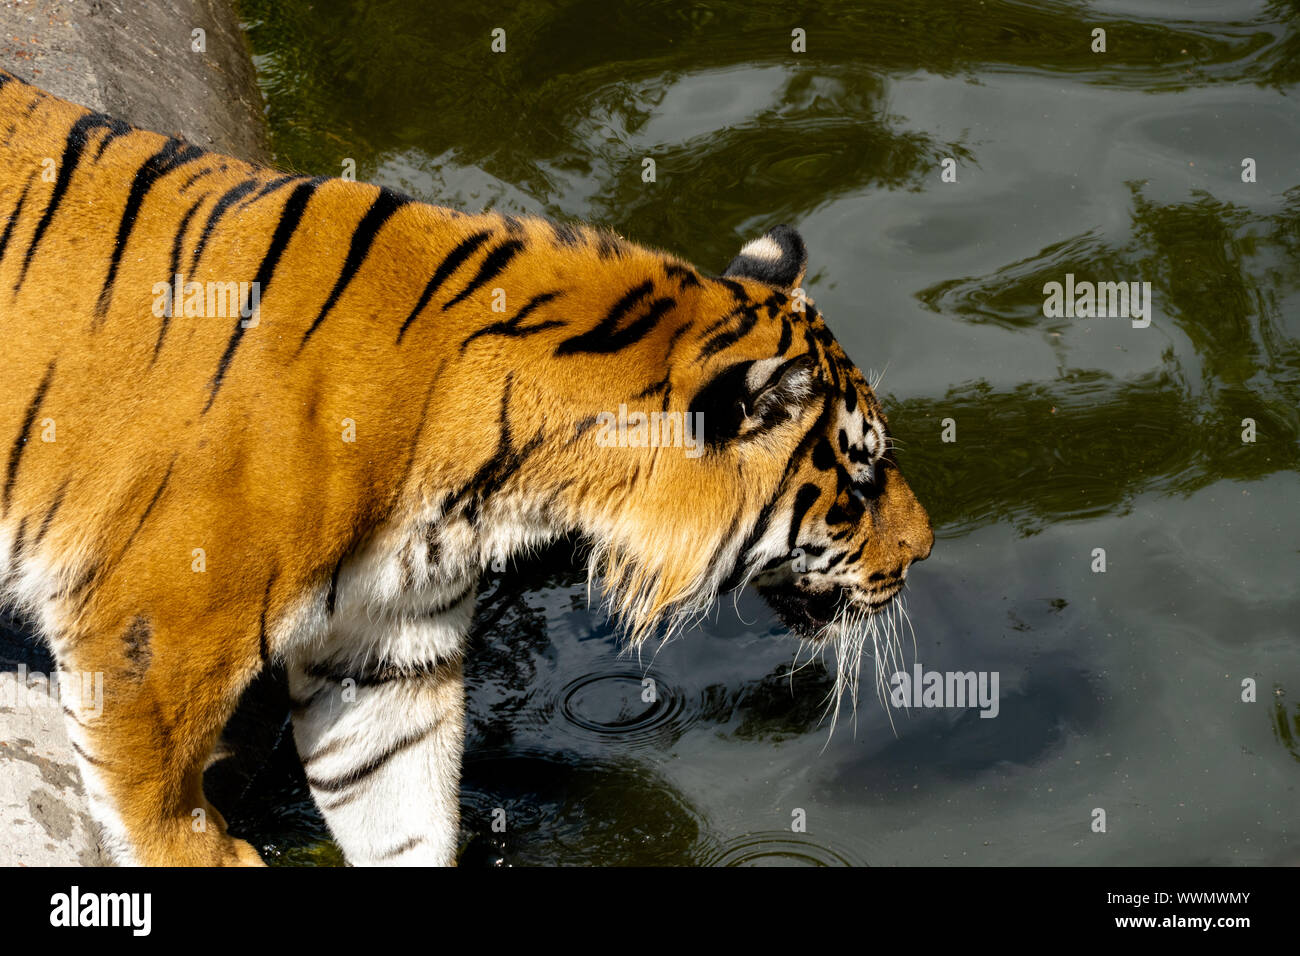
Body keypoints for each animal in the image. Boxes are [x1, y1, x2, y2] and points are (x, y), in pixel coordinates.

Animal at [0, 67, 933, 866]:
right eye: (856, 484)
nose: (923, 551)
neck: (498, 483)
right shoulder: (146, 636)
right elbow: (160, 808)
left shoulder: (384, 656)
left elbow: (400, 810)